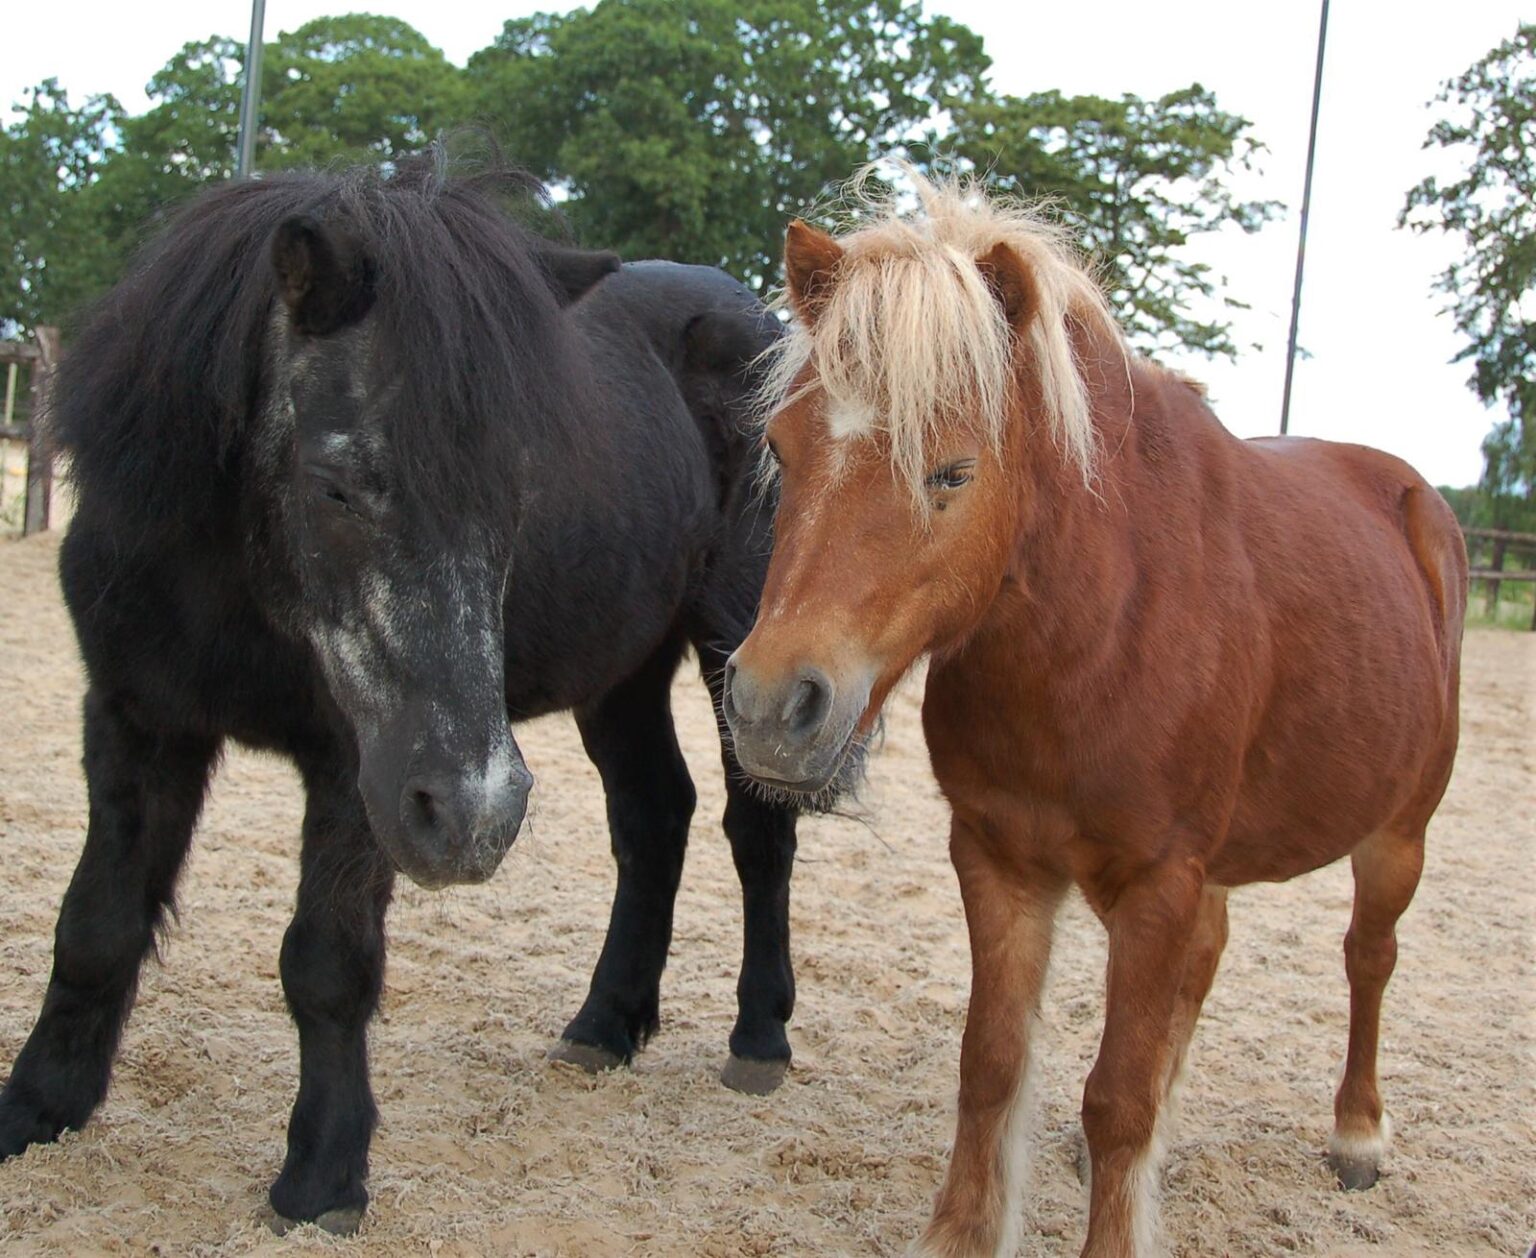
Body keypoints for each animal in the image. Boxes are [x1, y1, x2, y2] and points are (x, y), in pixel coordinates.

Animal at [0, 147, 801, 1233]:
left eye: (520, 482)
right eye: (339, 483)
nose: (478, 814)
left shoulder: (363, 766)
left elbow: (327, 964)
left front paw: (322, 1177)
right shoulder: (135, 720)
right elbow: (95, 924)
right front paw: (40, 1106)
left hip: (734, 641)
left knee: (756, 831)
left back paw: (758, 1038)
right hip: (622, 667)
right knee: (653, 814)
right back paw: (605, 1024)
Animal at [722, 169, 1466, 1258]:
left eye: (953, 470)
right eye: (784, 448)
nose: (773, 704)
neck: (1096, 634)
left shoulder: (1159, 882)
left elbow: (1117, 1098)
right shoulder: (999, 861)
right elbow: (992, 1063)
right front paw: (962, 1233)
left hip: (1396, 835)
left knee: (1368, 959)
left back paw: (1359, 1134)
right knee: (1207, 967)